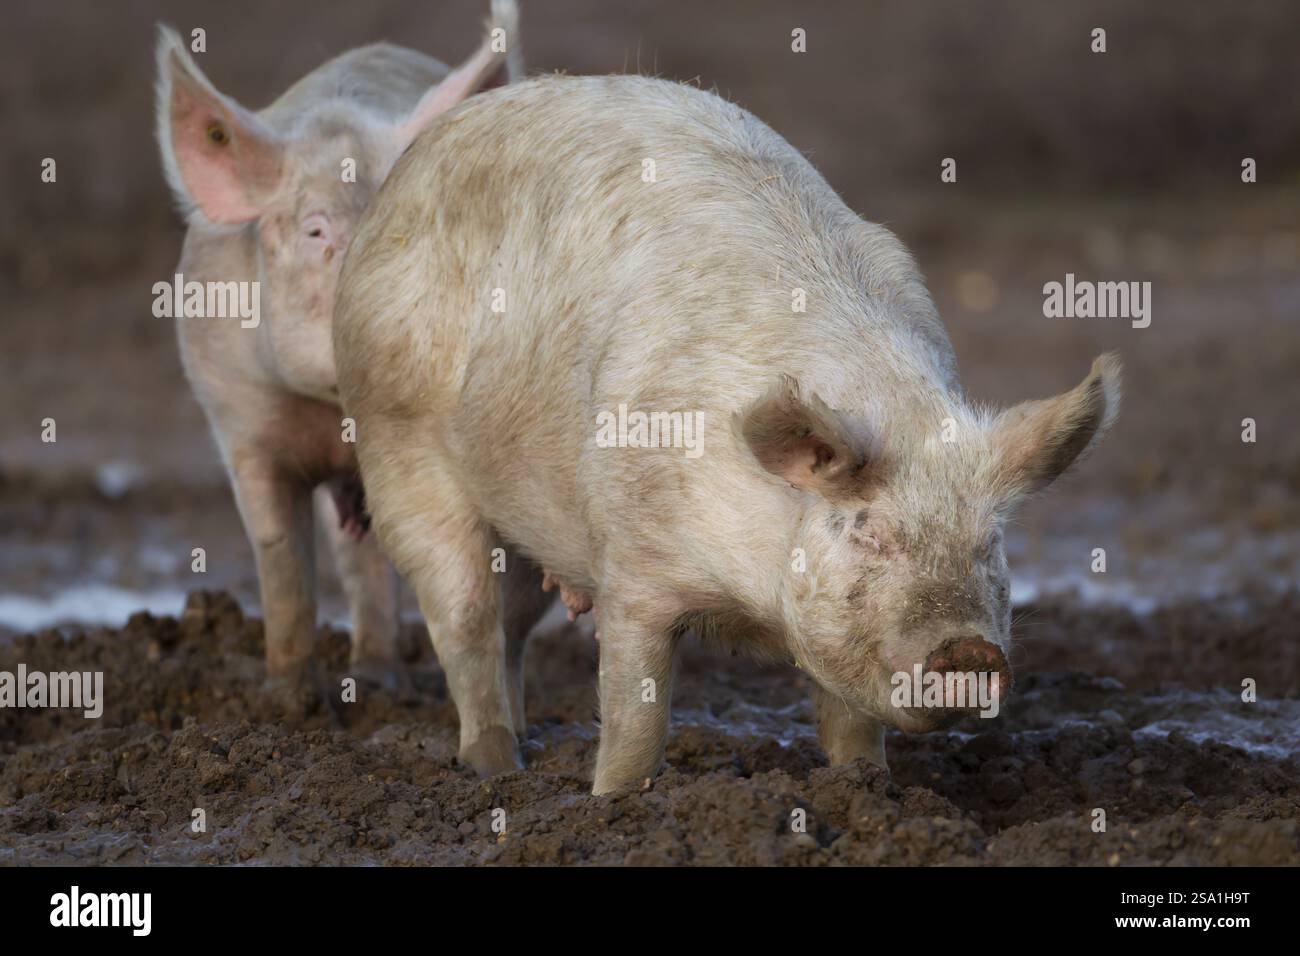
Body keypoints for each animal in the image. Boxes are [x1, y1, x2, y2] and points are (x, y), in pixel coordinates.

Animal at [153, 1, 523, 699]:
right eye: (316, 231)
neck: (334, 412)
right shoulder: (238, 419)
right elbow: (280, 557)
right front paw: (290, 698)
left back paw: (381, 682)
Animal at [332, 74, 1121, 792]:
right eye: (868, 532)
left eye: (990, 542)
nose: (971, 655)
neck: (750, 594)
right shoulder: (634, 563)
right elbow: (634, 712)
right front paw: (611, 801)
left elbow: (849, 721)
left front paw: (867, 789)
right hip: (395, 439)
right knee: (463, 618)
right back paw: (496, 772)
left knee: (514, 626)